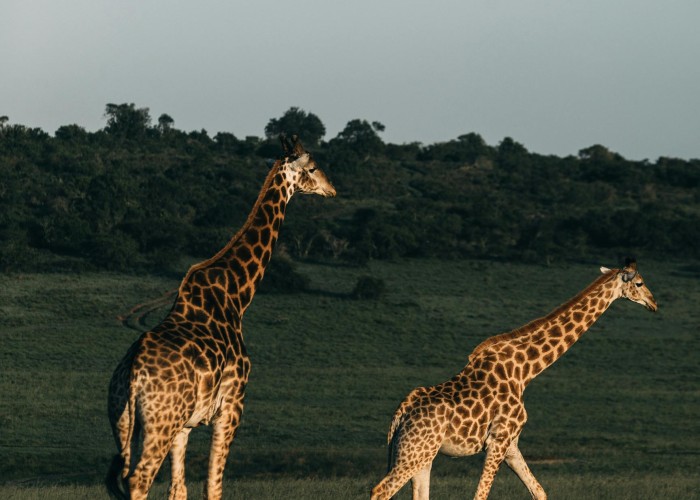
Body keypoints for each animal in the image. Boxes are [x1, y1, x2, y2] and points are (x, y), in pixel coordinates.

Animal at [106, 135, 336, 500]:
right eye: (313, 167)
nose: (332, 189)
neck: (237, 297)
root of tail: (130, 376)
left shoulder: (185, 425)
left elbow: (179, 489)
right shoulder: (232, 404)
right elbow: (213, 486)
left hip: (125, 421)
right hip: (159, 423)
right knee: (138, 480)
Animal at [371, 258, 657, 500]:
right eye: (639, 283)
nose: (654, 303)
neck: (524, 371)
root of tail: (400, 414)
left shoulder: (511, 445)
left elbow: (540, 492)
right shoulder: (498, 440)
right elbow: (480, 496)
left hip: (421, 454)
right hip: (414, 452)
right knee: (380, 491)